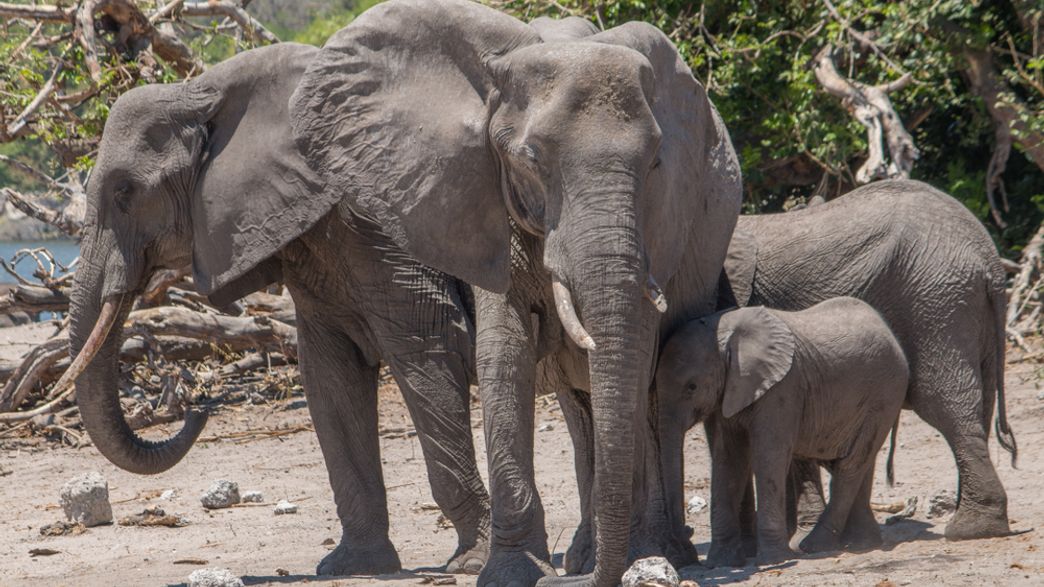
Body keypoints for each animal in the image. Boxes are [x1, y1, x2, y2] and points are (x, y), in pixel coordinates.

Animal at [60, 43, 493, 576]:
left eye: (125, 192)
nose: (198, 403)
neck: (202, 91)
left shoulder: (387, 233)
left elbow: (426, 354)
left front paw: (472, 563)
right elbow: (330, 378)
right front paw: (352, 566)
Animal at [289, 1, 743, 585]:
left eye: (656, 163)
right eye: (530, 159)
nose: (576, 579)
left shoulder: (659, 223)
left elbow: (638, 350)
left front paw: (637, 558)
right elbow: (504, 351)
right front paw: (514, 571)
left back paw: (658, 552)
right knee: (581, 403)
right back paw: (587, 555)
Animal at [656, 298, 909, 566]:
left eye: (692, 387)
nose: (688, 532)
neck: (725, 328)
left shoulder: (782, 388)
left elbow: (769, 457)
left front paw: (773, 560)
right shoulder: (733, 392)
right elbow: (729, 460)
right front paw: (721, 562)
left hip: (886, 393)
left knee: (851, 465)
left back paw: (814, 546)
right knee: (862, 461)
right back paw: (863, 544)